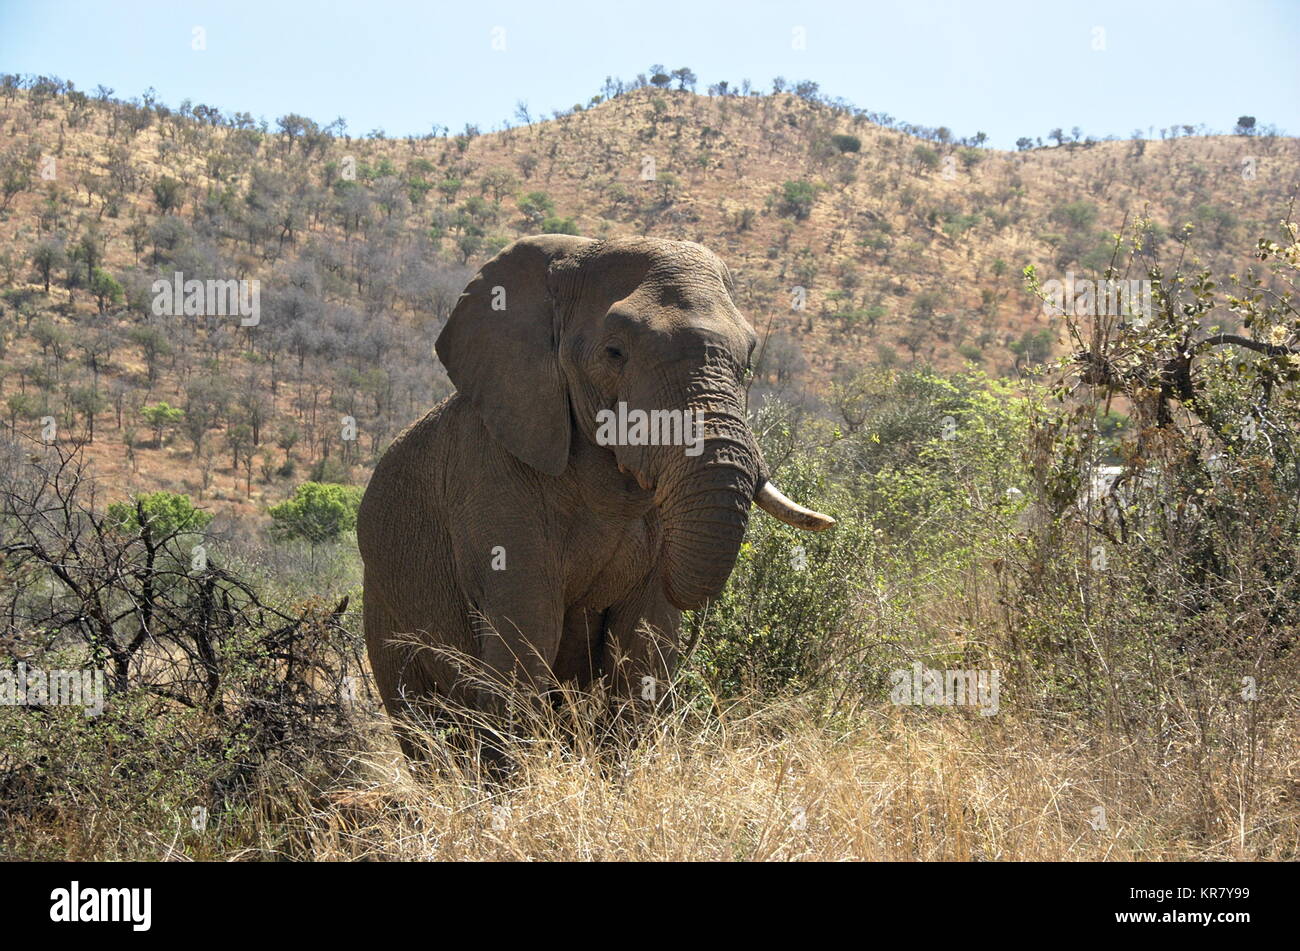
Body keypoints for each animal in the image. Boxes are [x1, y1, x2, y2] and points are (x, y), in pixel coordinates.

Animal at [357, 234, 833, 754]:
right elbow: (527, 636)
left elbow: (644, 643)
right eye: (614, 352)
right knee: (419, 720)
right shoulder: (488, 481)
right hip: (382, 604)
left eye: (747, 364)